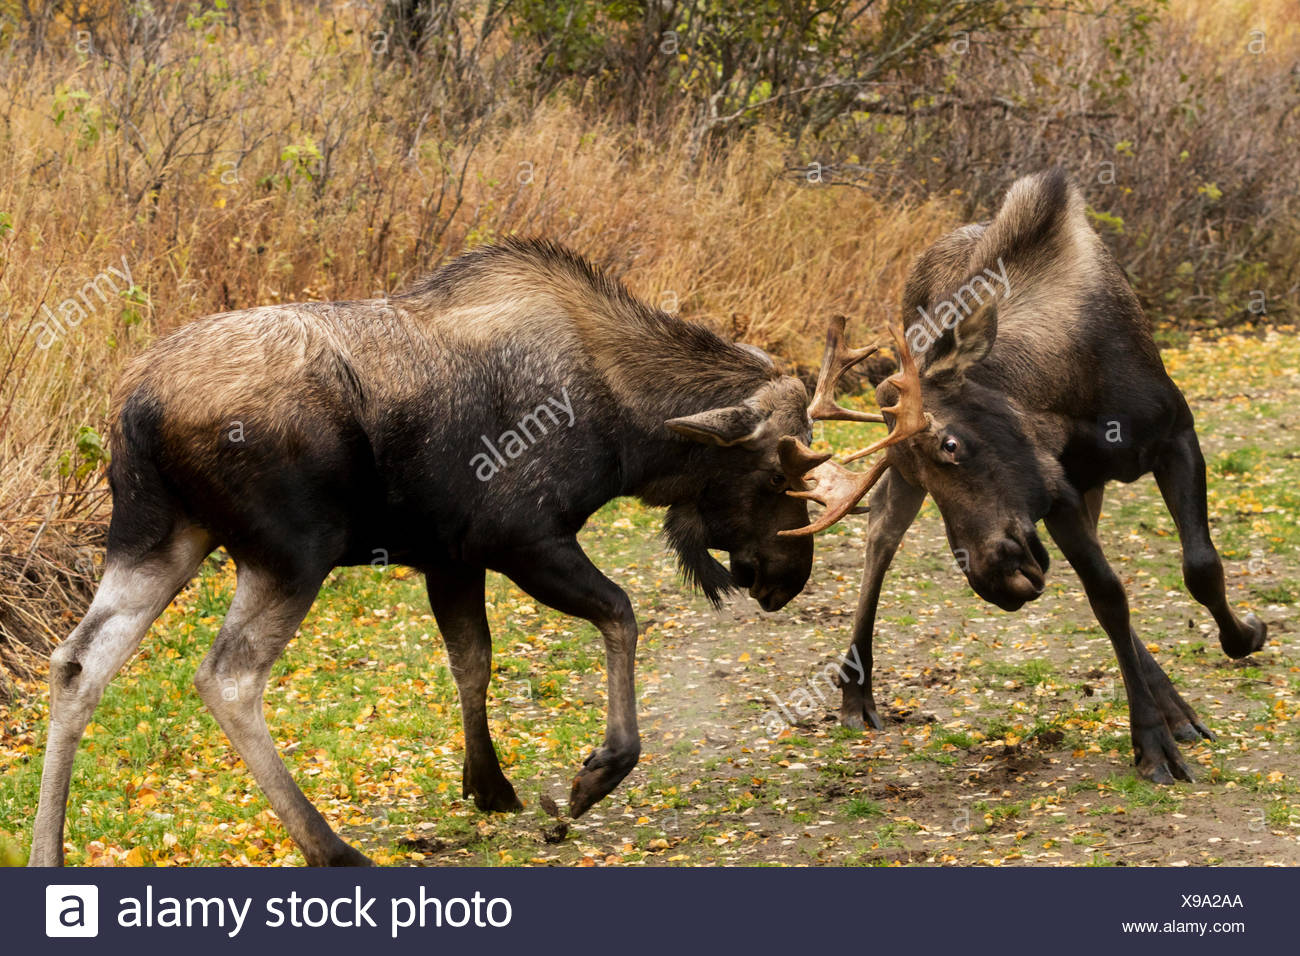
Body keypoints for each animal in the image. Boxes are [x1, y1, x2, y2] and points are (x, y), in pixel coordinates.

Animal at [29, 238, 824, 867]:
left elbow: (472, 659)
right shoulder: (524, 538)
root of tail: (137, 408)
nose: (788, 578)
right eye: (776, 473)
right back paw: (332, 848)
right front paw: (592, 777)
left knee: (78, 662)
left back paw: (48, 849)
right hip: (291, 550)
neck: (631, 433)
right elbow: (621, 615)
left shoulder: (451, 557)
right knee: (228, 676)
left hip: (159, 536)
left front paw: (489, 785)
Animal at [781, 168, 1268, 785]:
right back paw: (855, 694)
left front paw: (1244, 635)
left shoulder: (1174, 436)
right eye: (930, 472)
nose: (994, 577)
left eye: (951, 443)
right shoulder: (1059, 492)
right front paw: (1151, 742)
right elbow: (1109, 597)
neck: (1072, 395)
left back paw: (1178, 707)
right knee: (880, 537)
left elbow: (1200, 567)